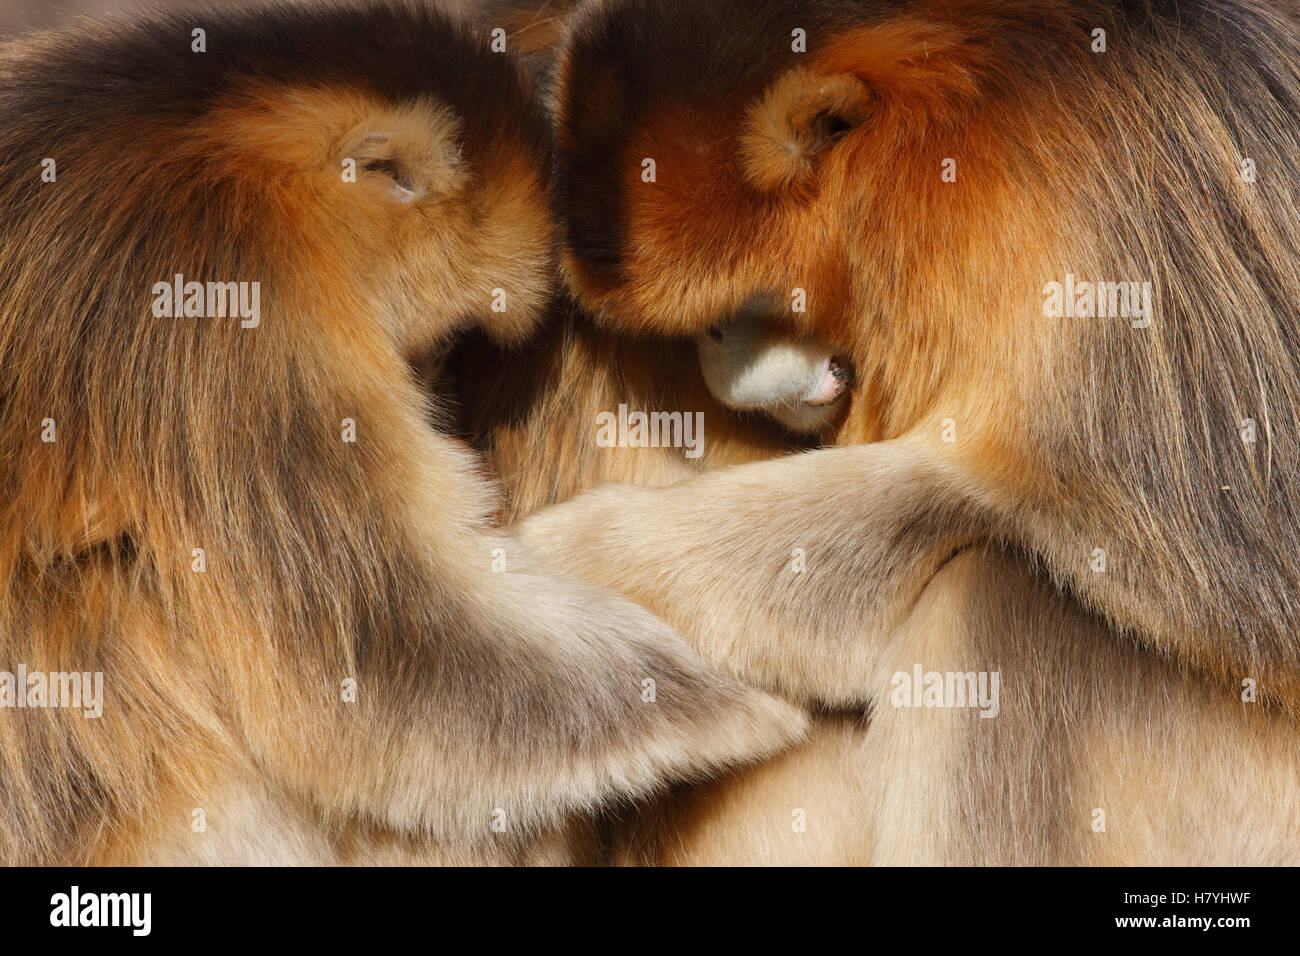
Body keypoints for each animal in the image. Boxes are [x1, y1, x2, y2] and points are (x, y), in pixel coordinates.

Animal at [0, 1, 816, 866]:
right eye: (449, 336)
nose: (436, 395)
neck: (212, 143)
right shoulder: (238, 312)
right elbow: (394, 670)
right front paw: (764, 715)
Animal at [449, 0, 1300, 863]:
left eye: (745, 310)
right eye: (707, 330)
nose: (745, 381)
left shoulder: (1101, 228)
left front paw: (559, 564)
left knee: (996, 581)